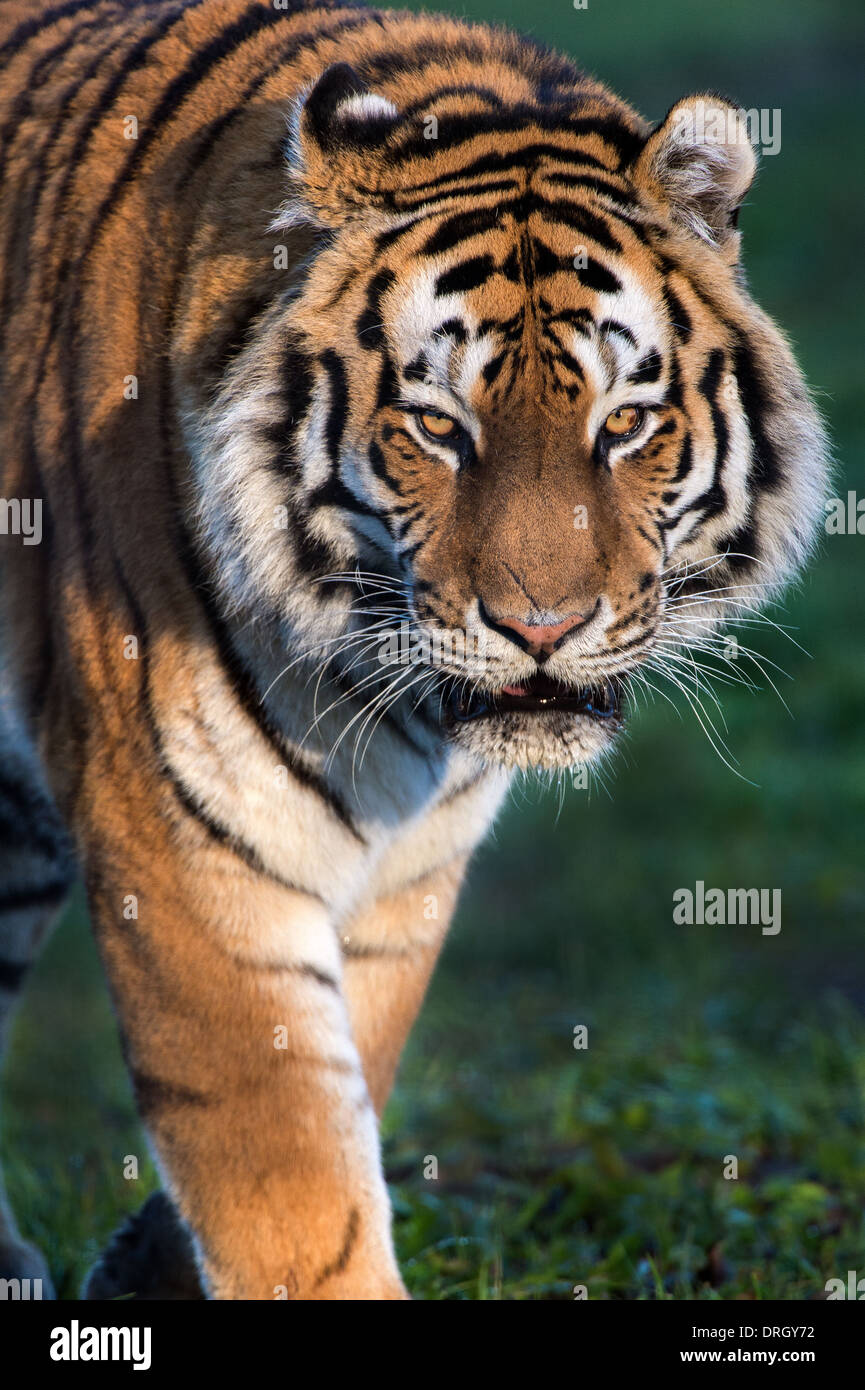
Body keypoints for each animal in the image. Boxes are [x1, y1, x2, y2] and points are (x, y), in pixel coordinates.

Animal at [0, 0, 827, 1301]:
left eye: (624, 423)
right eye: (438, 426)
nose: (542, 627)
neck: (382, 706)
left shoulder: (409, 872)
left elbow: (350, 1078)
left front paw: (145, 1264)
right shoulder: (184, 849)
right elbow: (290, 1170)